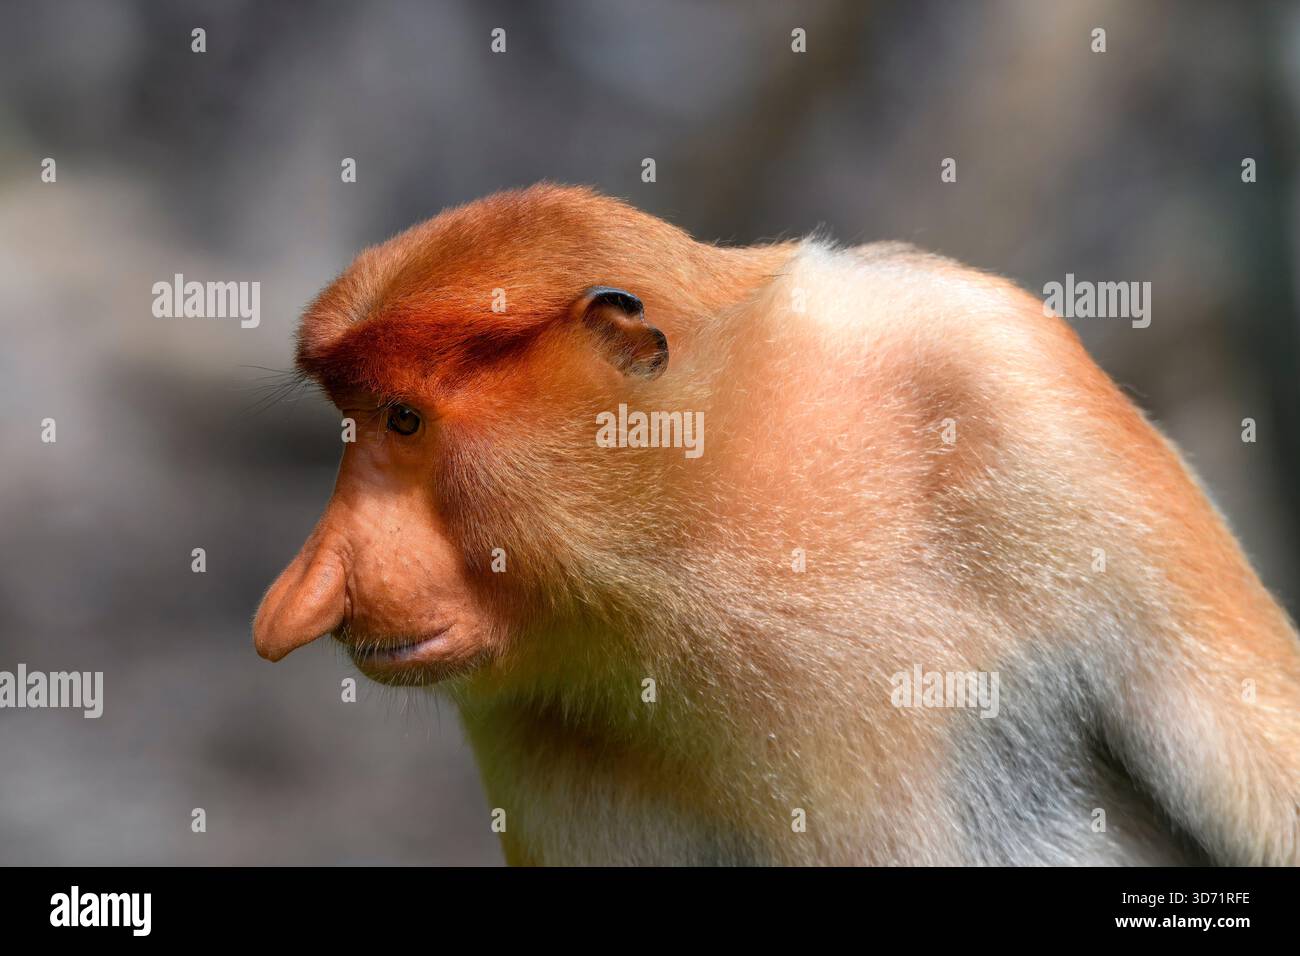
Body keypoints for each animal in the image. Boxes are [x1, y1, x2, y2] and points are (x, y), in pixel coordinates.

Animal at [253, 183, 1300, 866]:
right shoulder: (531, 738)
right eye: (360, 422)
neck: (703, 532)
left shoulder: (1001, 373)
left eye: (402, 420)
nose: (301, 600)